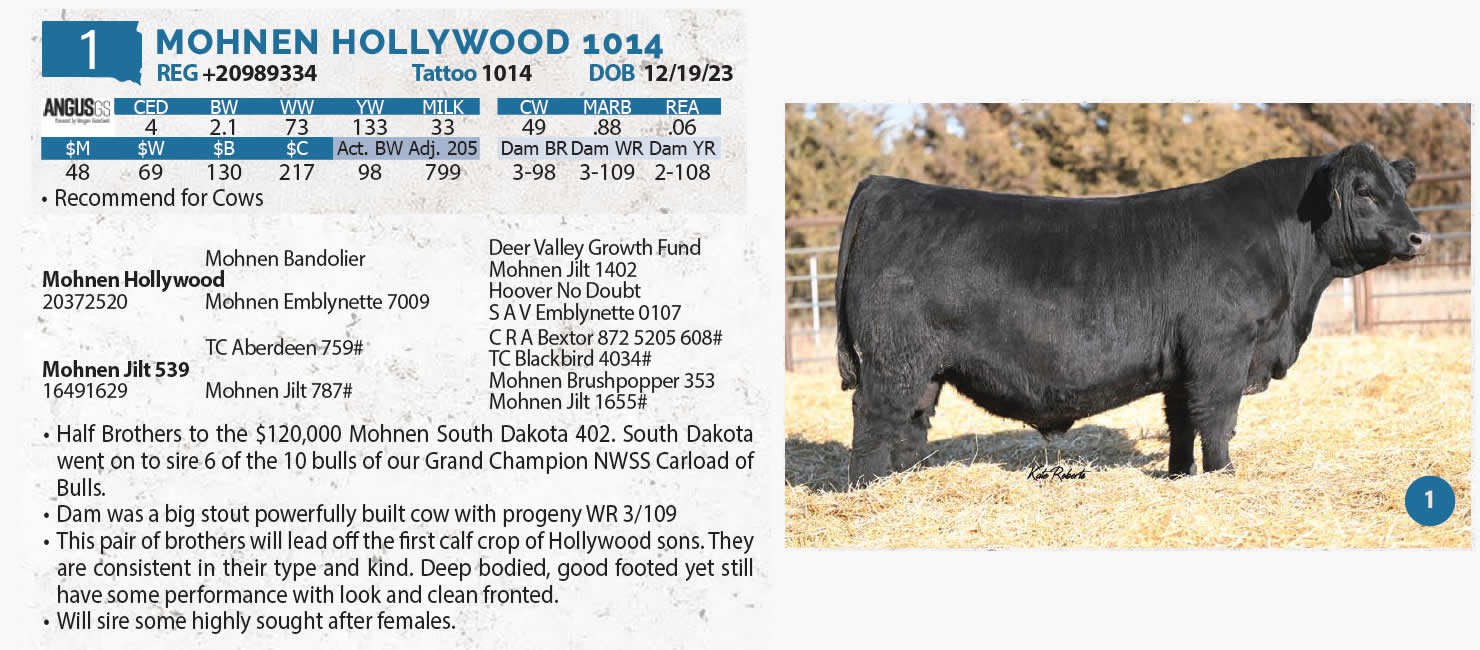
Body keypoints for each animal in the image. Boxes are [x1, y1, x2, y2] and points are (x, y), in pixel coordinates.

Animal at [834, 143, 1428, 486]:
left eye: (1400, 188)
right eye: (1363, 191)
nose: (1418, 236)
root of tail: (885, 185)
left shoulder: (1185, 361)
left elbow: (1182, 419)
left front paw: (1180, 476)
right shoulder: (1223, 348)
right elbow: (1218, 416)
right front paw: (1224, 476)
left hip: (924, 367)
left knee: (913, 419)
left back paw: (912, 481)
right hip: (891, 358)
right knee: (875, 417)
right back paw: (870, 489)